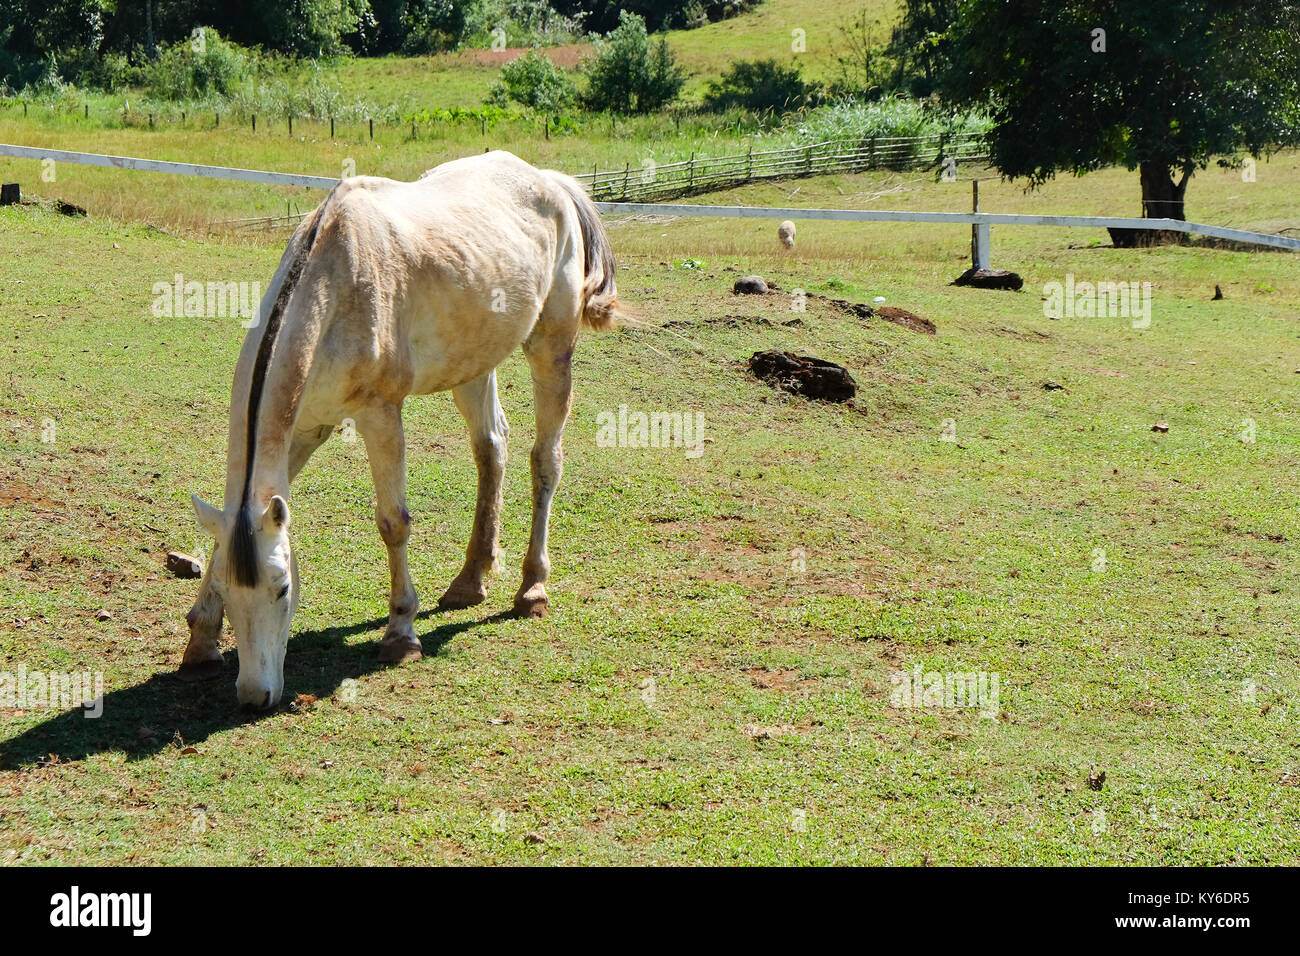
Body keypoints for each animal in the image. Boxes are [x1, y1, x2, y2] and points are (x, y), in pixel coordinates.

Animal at [180, 151, 618, 710]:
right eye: (231, 589)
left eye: (283, 588)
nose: (256, 695)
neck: (335, 283)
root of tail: (551, 182)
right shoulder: (304, 429)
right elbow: (222, 543)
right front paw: (201, 640)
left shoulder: (380, 415)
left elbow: (394, 523)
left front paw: (401, 635)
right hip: (475, 362)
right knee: (491, 448)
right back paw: (469, 581)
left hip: (551, 349)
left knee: (545, 461)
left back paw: (531, 590)